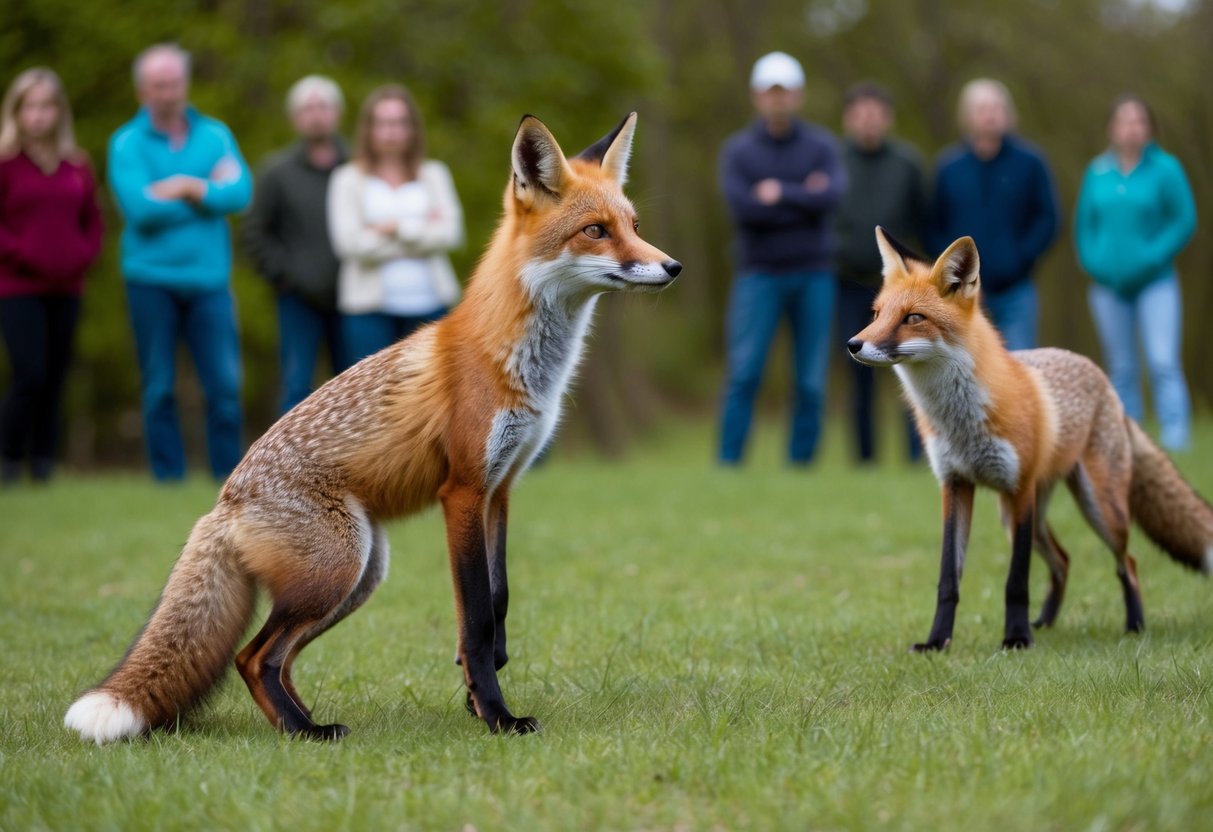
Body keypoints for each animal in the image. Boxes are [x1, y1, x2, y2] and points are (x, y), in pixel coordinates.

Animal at [64, 113, 681, 744]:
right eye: (595, 231)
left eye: (633, 226)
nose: (672, 267)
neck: (516, 362)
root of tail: (222, 502)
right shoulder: (462, 491)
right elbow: (477, 617)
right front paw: (497, 715)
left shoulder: (502, 487)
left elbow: (500, 599)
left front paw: (475, 692)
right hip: (338, 568)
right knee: (252, 656)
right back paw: (306, 733)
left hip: (360, 573)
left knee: (276, 659)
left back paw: (305, 723)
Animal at [847, 227, 1212, 652]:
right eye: (877, 315)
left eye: (913, 318)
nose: (853, 344)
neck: (960, 421)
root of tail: (1106, 383)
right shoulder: (955, 485)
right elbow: (948, 580)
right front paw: (937, 642)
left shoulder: (1019, 488)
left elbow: (1016, 581)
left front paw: (1016, 638)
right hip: (1022, 514)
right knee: (1064, 560)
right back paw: (1047, 623)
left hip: (1099, 508)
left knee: (1129, 563)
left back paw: (1134, 625)